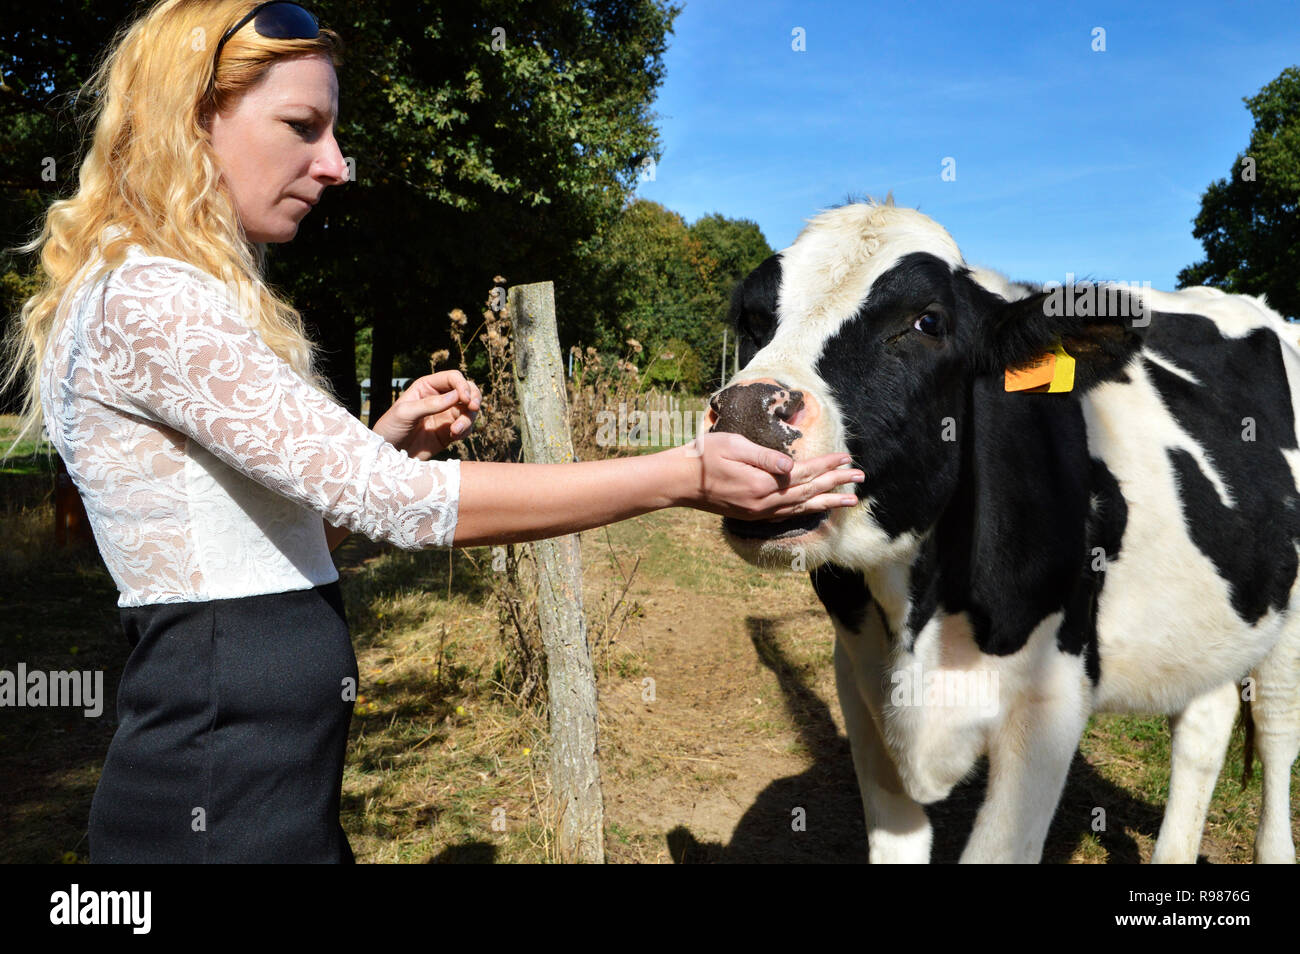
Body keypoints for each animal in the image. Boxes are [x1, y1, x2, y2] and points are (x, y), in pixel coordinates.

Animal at [706, 197, 1300, 863]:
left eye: (927, 322)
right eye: (754, 320)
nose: (747, 415)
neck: (922, 619)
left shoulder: (1050, 700)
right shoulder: (858, 679)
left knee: (1277, 731)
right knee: (1206, 716)